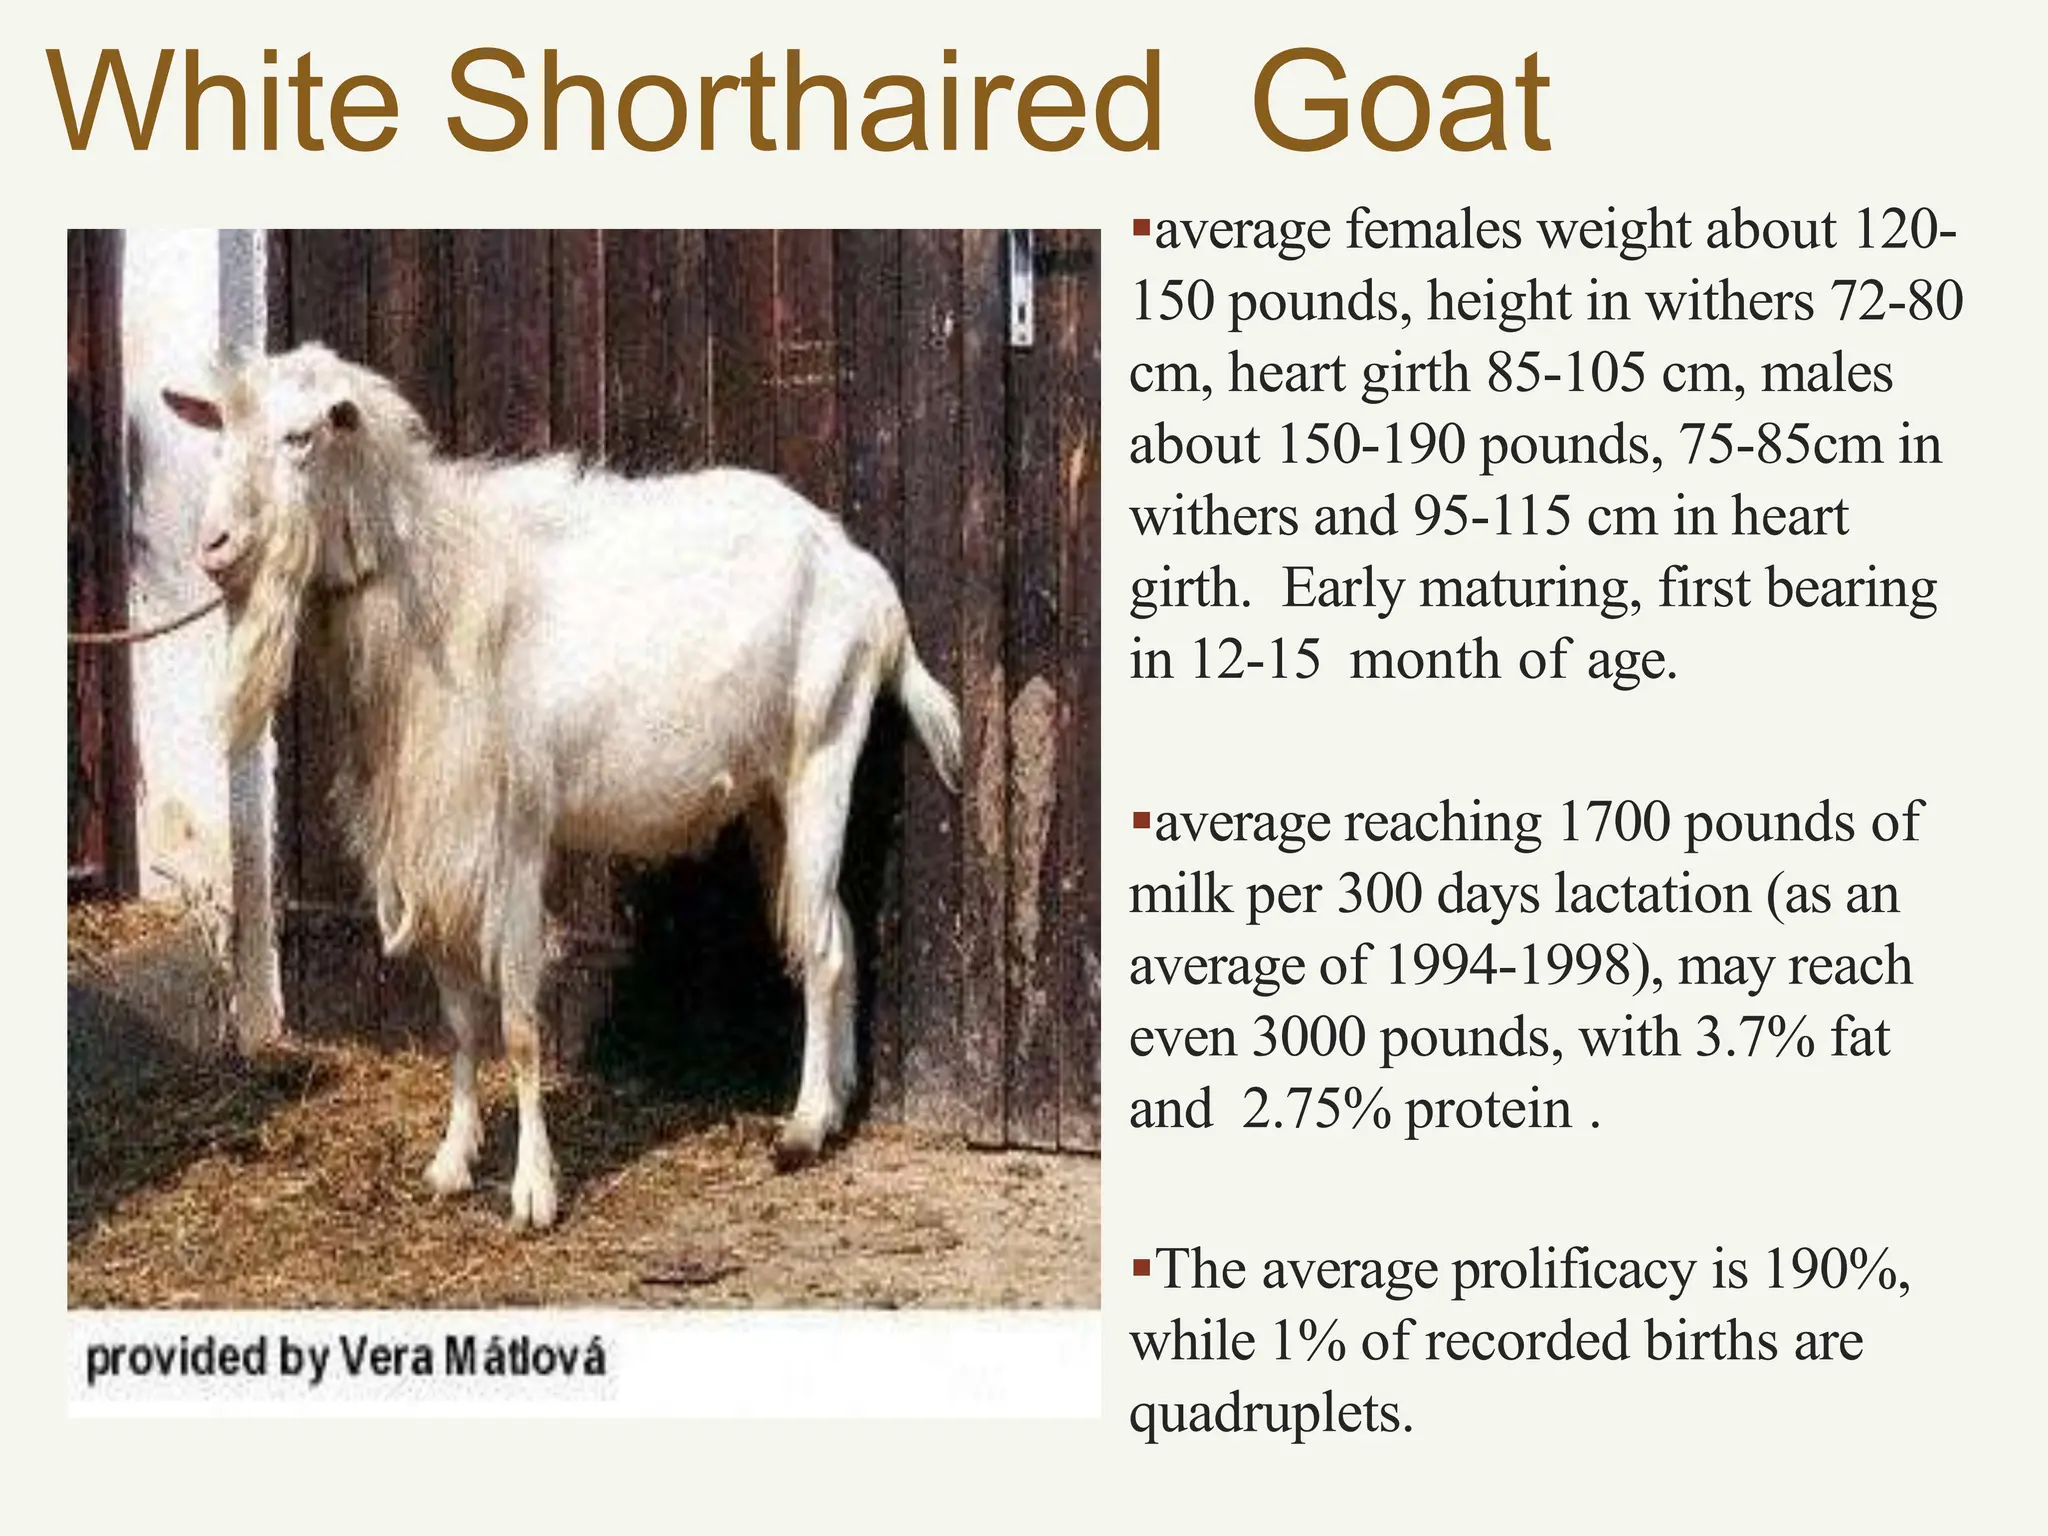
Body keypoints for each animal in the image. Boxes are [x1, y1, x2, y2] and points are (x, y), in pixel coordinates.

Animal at [164, 343, 963, 1228]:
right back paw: (841, 1097)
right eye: (221, 431)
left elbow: (516, 1022)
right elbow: (460, 1020)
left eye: (301, 437)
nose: (215, 546)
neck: (440, 596)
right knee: (837, 928)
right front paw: (451, 1162)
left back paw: (804, 1128)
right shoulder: (434, 844)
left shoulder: (513, 841)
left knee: (819, 947)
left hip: (824, 751)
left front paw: (533, 1190)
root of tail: (870, 584)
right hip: (769, 794)